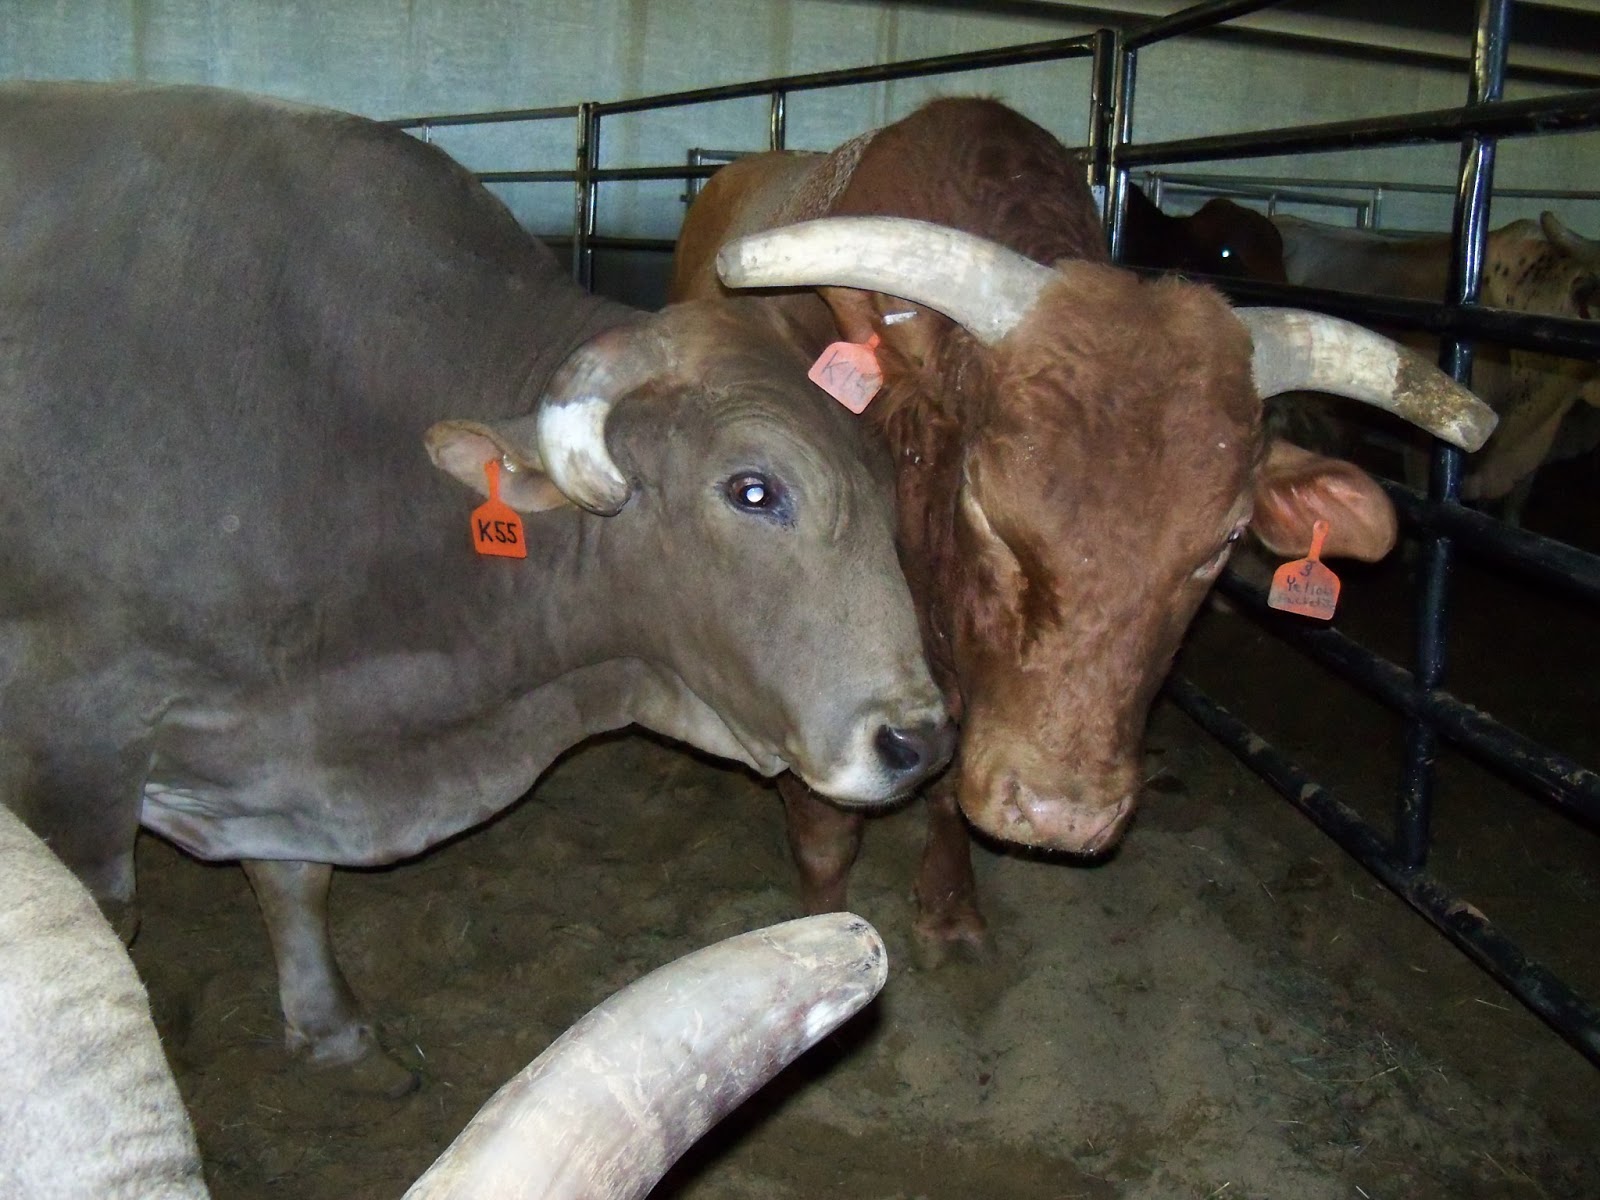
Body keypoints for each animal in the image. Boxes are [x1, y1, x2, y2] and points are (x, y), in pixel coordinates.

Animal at [0, 82, 950, 1093]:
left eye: (883, 484)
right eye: (754, 489)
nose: (918, 741)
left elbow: (292, 876)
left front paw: (329, 1026)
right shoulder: (71, 740)